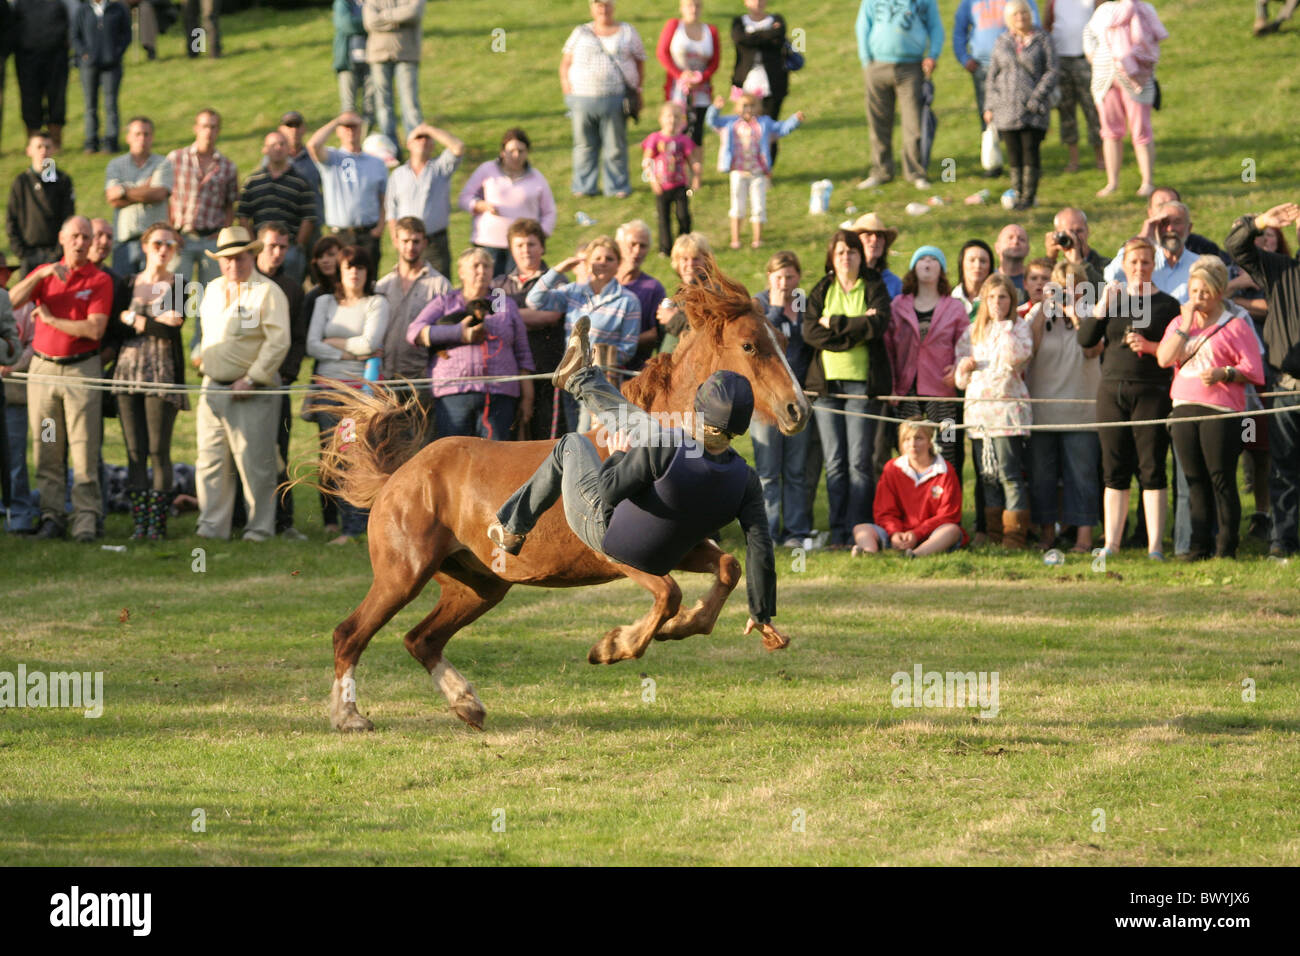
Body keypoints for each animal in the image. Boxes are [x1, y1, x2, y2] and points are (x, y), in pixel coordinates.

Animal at [307, 268, 811, 732]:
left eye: (783, 339)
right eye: (750, 345)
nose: (798, 410)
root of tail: (399, 477)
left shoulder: (679, 546)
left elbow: (727, 569)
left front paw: (684, 627)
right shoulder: (615, 552)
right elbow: (669, 593)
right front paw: (614, 646)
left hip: (479, 585)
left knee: (422, 640)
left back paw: (467, 704)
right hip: (403, 575)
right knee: (349, 635)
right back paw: (350, 716)